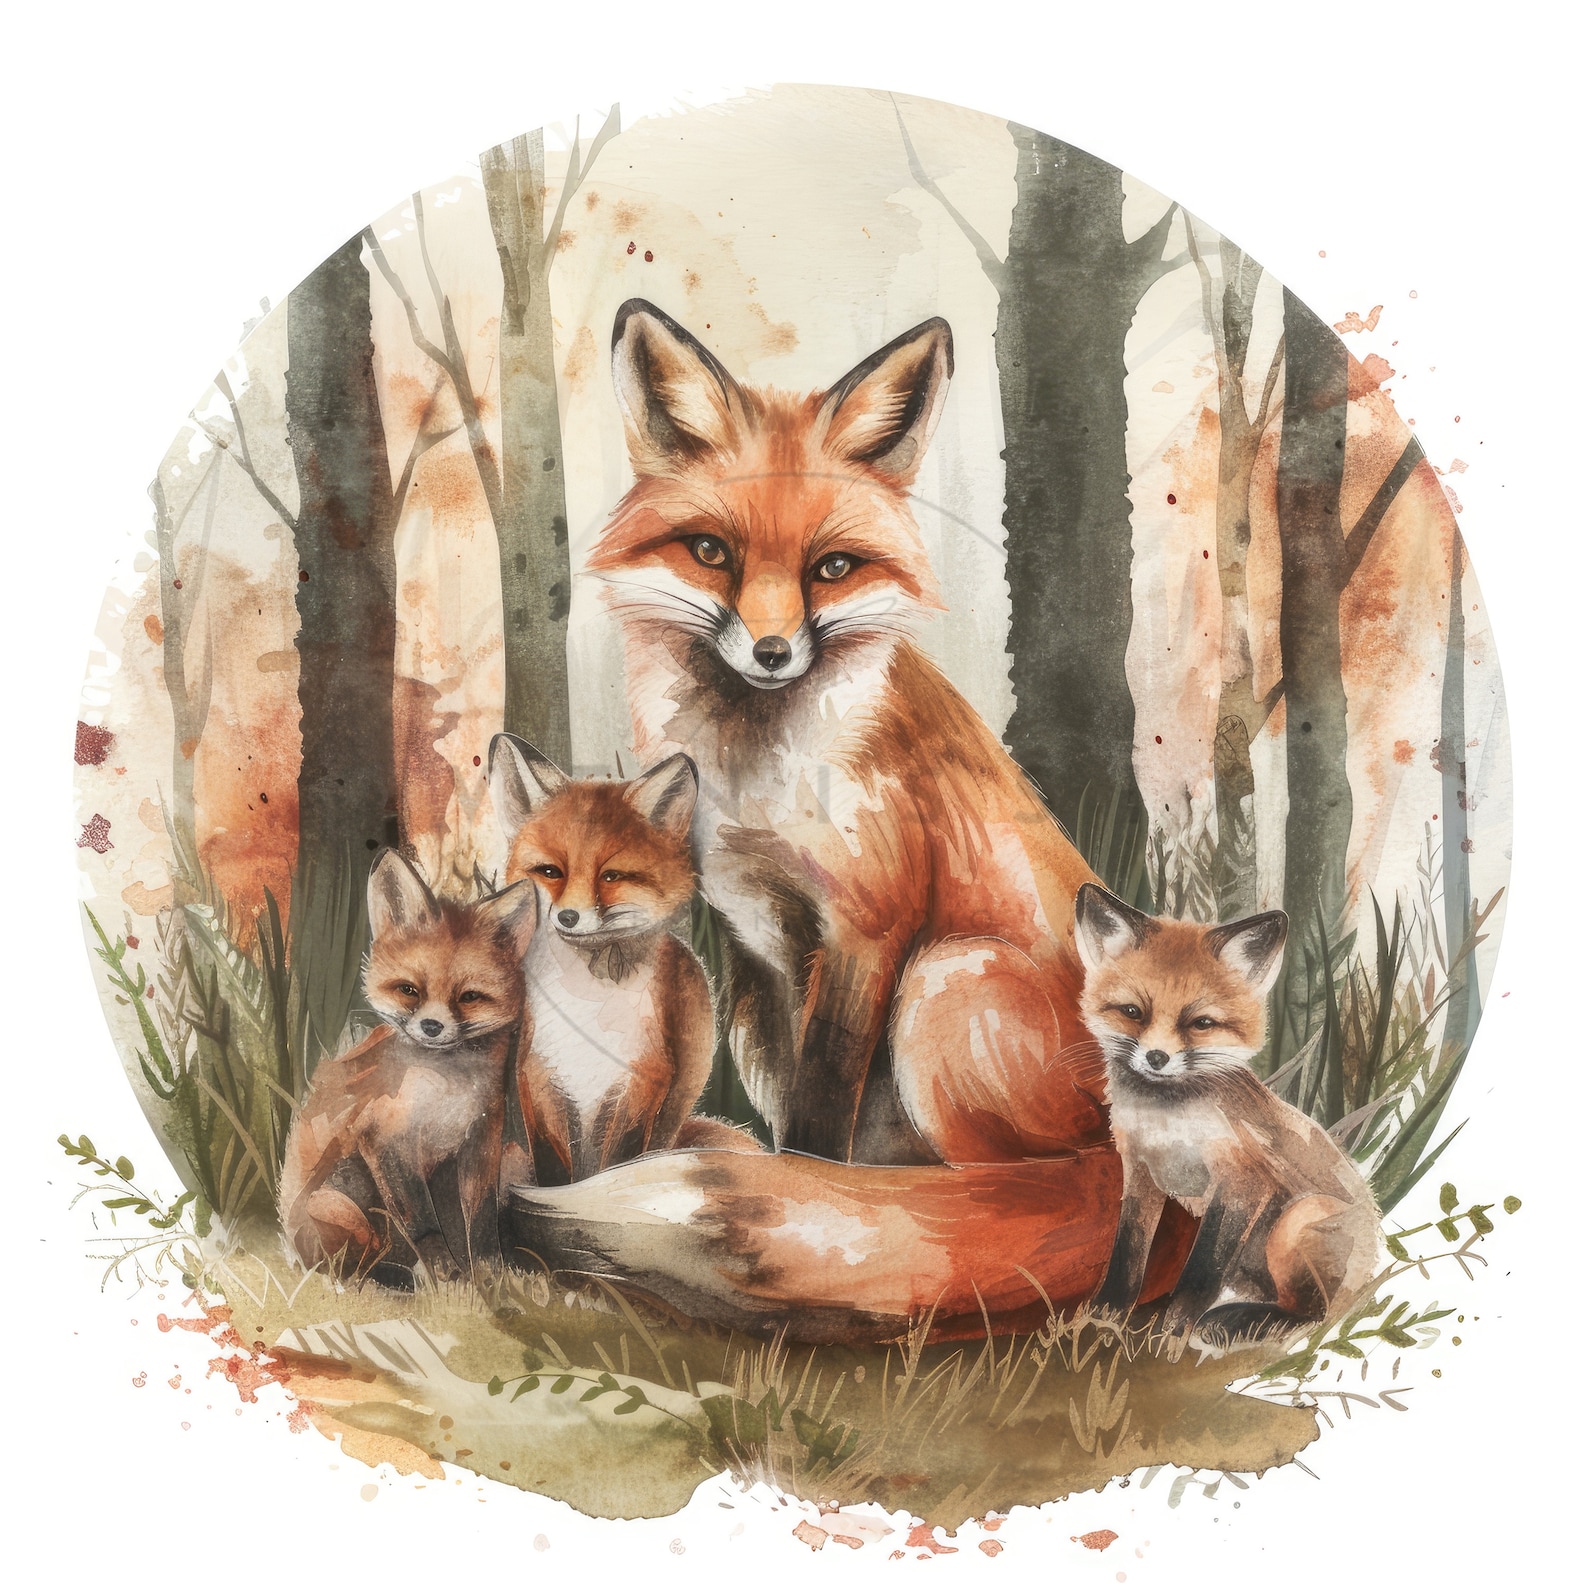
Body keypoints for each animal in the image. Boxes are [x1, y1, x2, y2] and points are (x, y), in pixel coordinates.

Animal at [278, 850, 537, 1285]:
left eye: (469, 997)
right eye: (409, 990)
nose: (431, 1027)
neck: (445, 1093)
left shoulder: (484, 1139)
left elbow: (481, 1221)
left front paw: (489, 1274)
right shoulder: (384, 1140)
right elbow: (421, 1222)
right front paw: (447, 1276)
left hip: (515, 1156)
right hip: (341, 1200)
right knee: (348, 1267)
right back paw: (392, 1280)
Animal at [488, 733, 750, 1185]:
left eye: (610, 876)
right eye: (551, 872)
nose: (568, 917)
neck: (587, 1005)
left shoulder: (641, 1081)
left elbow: (616, 1163)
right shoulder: (539, 1080)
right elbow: (554, 1171)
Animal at [1075, 884, 1382, 1342]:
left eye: (1201, 1023)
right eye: (1133, 1012)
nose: (1157, 1057)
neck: (1167, 1123)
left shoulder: (1242, 1181)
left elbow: (1202, 1268)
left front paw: (1173, 1330)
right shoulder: (1141, 1173)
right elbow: (1127, 1255)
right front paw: (1103, 1316)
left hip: (1296, 1222)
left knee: (1315, 1315)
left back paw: (1238, 1322)